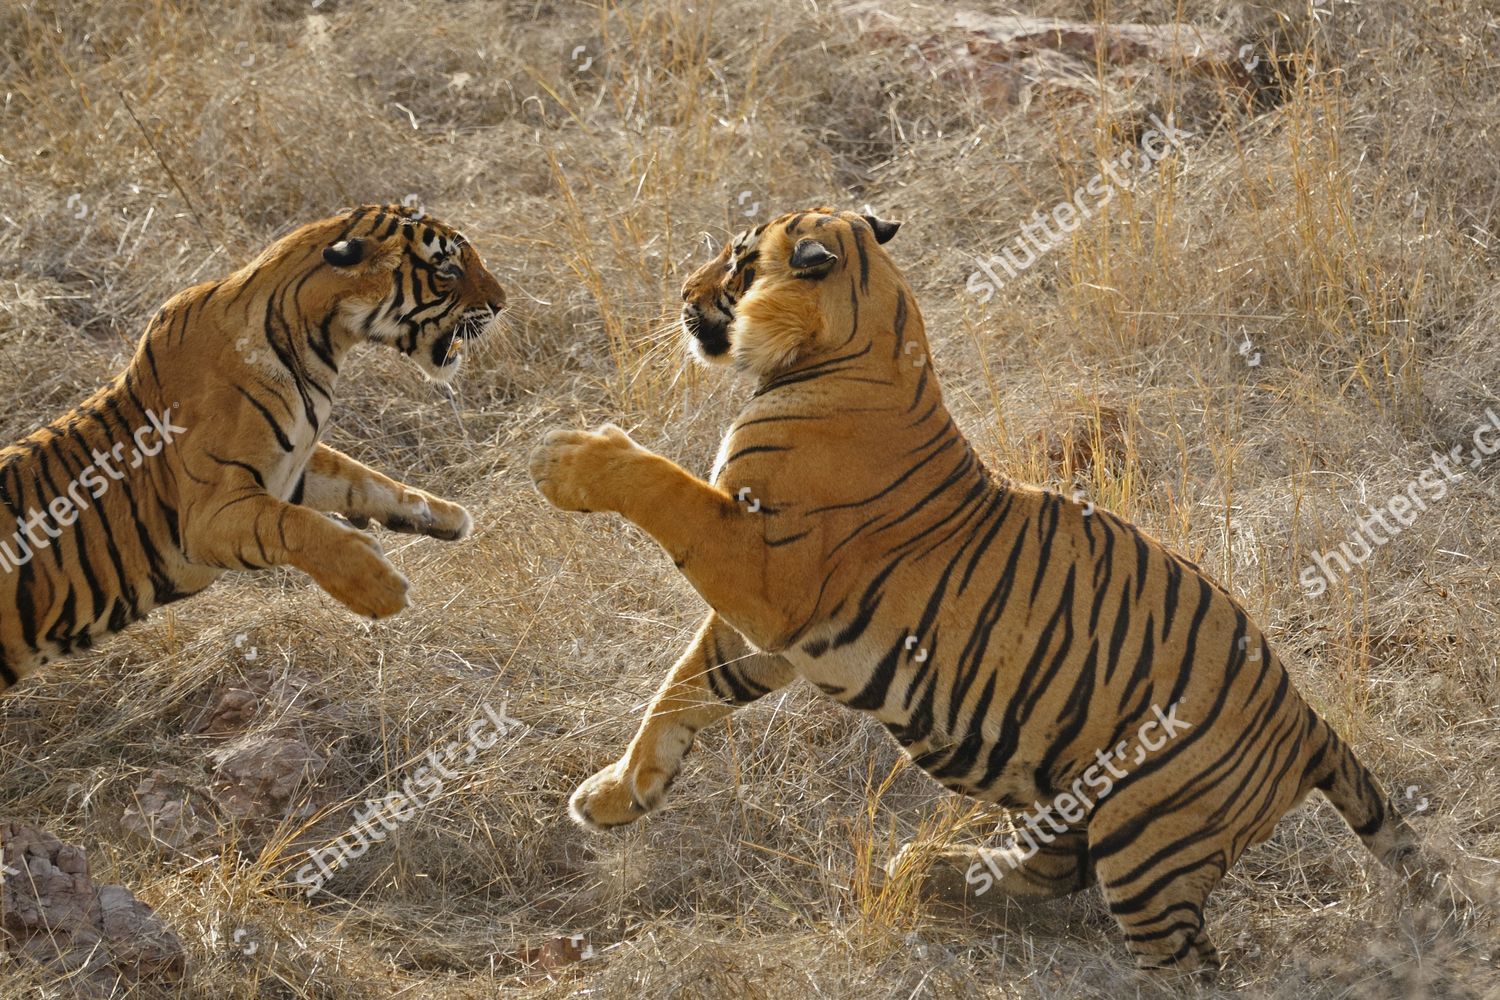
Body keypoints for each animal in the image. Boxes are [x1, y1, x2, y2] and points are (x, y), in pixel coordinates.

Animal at [0, 203, 504, 693]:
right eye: (447, 269)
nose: (502, 304)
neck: (322, 343)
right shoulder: (208, 516)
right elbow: (299, 527)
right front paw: (378, 586)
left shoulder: (293, 467)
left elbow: (363, 479)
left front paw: (445, 517)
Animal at [527, 206, 1423, 974]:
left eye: (739, 260)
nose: (682, 292)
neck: (864, 335)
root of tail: (1307, 721)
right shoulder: (762, 632)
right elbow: (678, 695)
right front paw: (614, 797)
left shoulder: (762, 571)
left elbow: (663, 488)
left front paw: (568, 458)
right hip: (1068, 787)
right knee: (1058, 868)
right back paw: (932, 868)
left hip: (1150, 836)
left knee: (1184, 958)